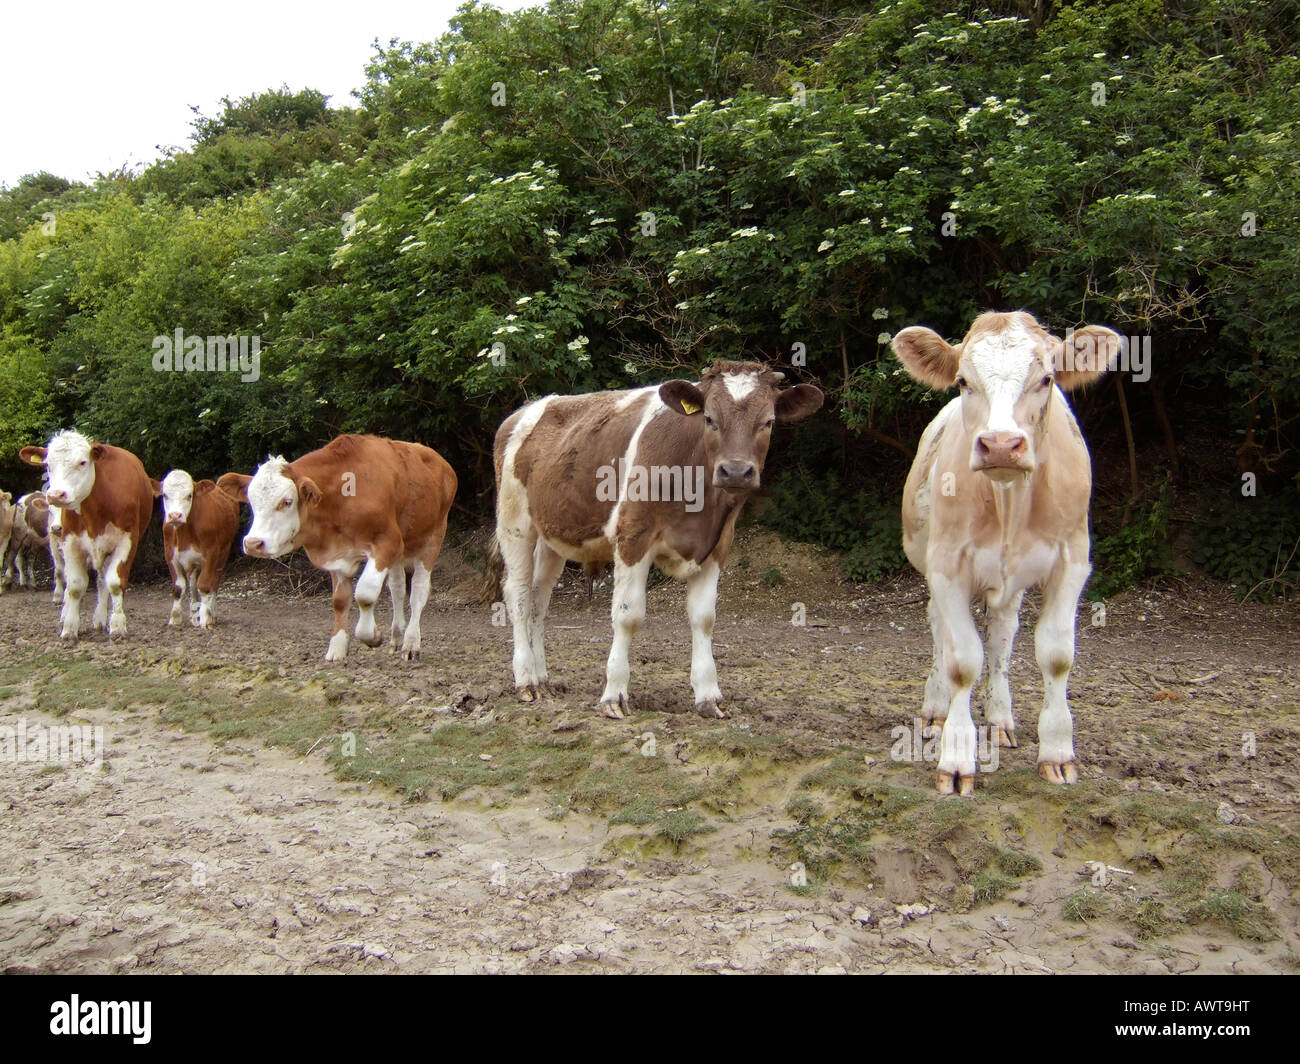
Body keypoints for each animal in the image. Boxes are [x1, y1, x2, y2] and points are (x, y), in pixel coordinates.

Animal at [18, 431, 154, 639]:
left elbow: (115, 583)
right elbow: (74, 585)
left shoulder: (128, 541)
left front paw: (117, 625)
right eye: (48, 464)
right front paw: (69, 627)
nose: (56, 495)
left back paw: (100, 618)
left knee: (102, 581)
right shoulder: (69, 542)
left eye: (82, 462)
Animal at [149, 469, 241, 629]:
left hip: (223, 554)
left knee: (214, 583)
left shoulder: (211, 554)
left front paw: (206, 618)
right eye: (165, 495)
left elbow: (204, 586)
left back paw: (212, 614)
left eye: (189, 495)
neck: (185, 533)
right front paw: (175, 618)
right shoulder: (170, 555)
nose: (175, 515)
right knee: (192, 585)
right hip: (192, 563)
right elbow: (179, 588)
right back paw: (193, 615)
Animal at [216, 434, 457, 662]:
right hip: (401, 551)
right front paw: (338, 648)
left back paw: (411, 644)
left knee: (418, 591)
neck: (341, 499)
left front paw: (371, 635)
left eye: (286, 502)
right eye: (251, 501)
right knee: (397, 589)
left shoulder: (387, 542)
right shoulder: (339, 553)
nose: (252, 543)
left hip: (432, 539)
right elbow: (340, 601)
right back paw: (396, 637)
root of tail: (441, 462)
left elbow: (365, 593)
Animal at [493, 360, 823, 719]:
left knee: (539, 599)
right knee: (519, 596)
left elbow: (704, 618)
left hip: (553, 534)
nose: (735, 471)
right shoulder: (633, 536)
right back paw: (526, 681)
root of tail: (527, 409)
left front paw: (708, 695)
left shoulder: (718, 544)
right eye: (709, 418)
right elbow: (628, 616)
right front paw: (614, 694)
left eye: (769, 421)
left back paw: (542, 678)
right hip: (515, 522)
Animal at [892, 311, 1119, 795]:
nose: (1000, 444)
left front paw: (1057, 753)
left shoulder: (1072, 562)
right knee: (940, 630)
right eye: (962, 381)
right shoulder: (947, 567)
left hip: (1011, 585)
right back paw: (936, 709)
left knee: (1002, 634)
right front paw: (957, 760)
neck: (1009, 500)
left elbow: (1056, 656)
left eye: (1047, 379)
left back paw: (999, 717)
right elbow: (962, 661)